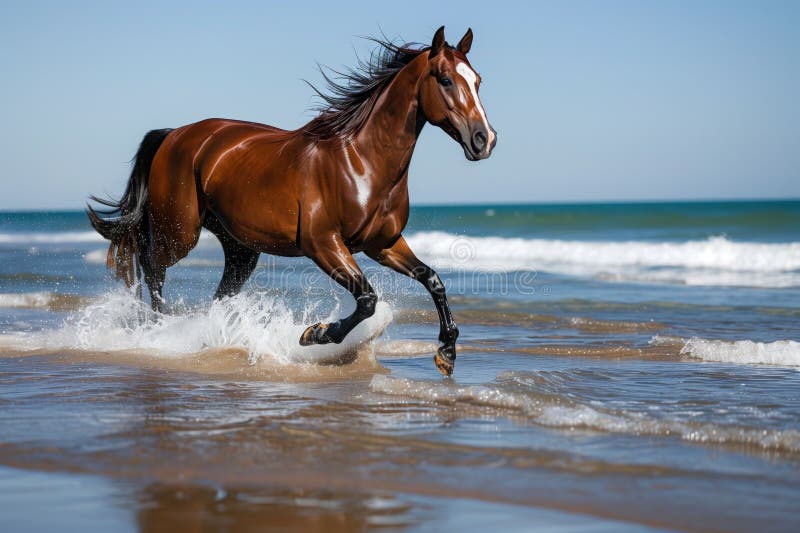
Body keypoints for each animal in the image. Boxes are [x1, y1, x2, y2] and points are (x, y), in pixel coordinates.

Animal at [87, 26, 496, 376]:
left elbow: (433, 280)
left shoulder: (383, 244)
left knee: (217, 296)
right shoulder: (323, 244)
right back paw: (160, 330)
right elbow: (367, 298)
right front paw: (314, 334)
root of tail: (174, 134)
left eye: (477, 81)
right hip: (179, 232)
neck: (362, 161)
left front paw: (446, 353)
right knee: (151, 266)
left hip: (241, 250)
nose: (484, 140)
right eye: (445, 79)